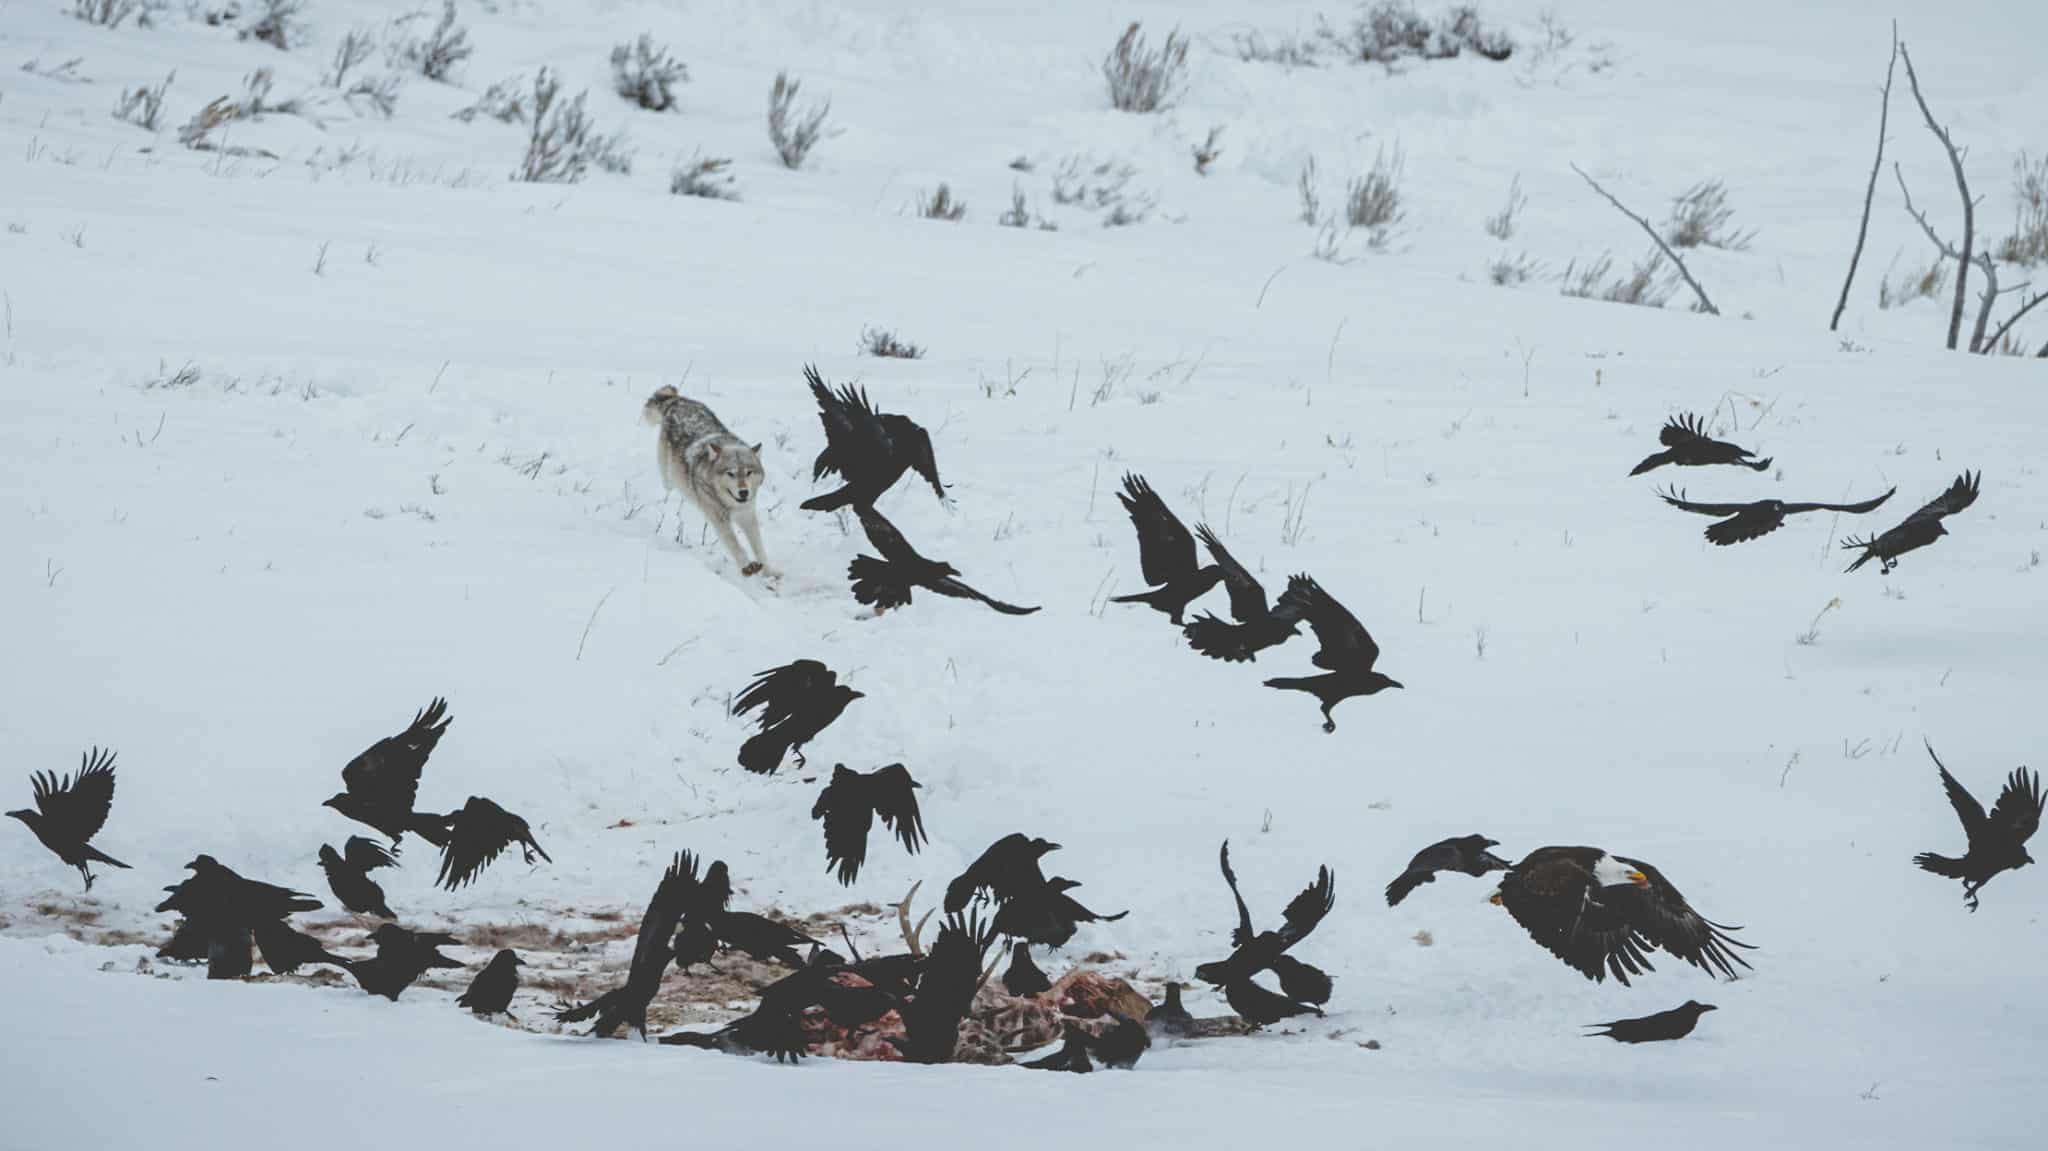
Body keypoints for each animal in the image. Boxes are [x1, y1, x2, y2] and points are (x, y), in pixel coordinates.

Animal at [643, 386, 772, 576]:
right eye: (730, 473)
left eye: (748, 472)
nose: (744, 492)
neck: (731, 504)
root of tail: (678, 400)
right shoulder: (718, 518)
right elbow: (735, 545)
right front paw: (748, 567)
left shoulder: (747, 514)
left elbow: (759, 547)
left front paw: (771, 573)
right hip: (668, 475)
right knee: (668, 487)